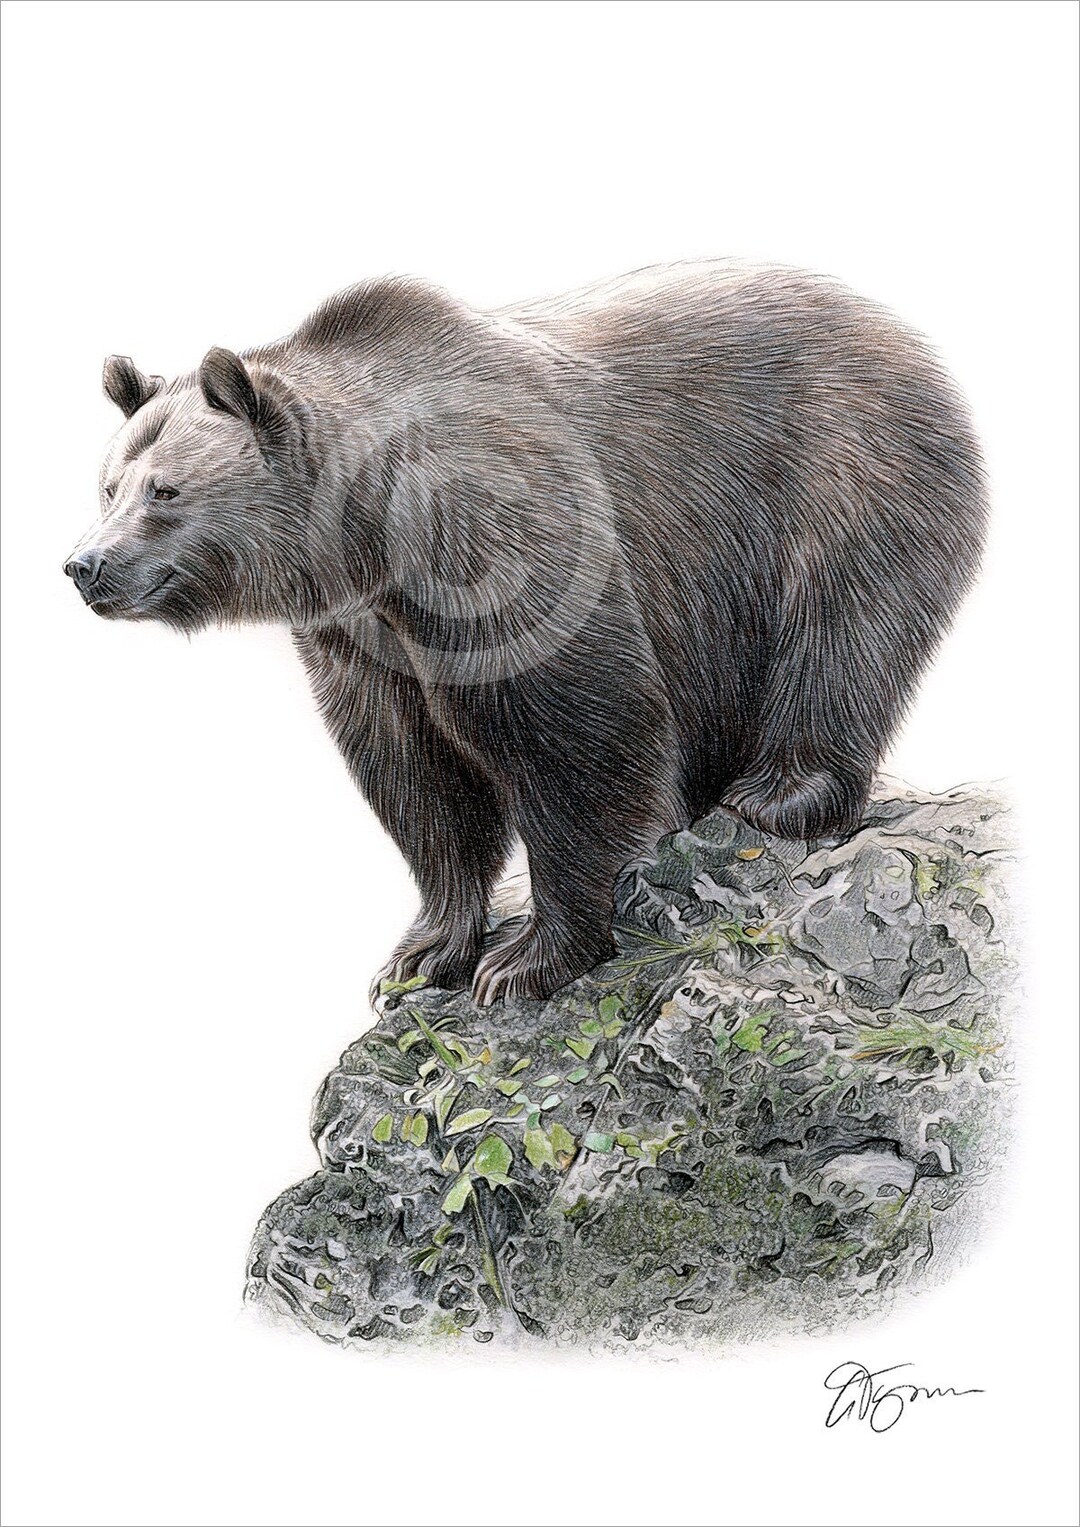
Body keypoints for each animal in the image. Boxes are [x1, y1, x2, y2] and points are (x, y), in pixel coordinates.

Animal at [65, 261, 987, 1005]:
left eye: (165, 490)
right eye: (107, 484)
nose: (85, 565)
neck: (371, 535)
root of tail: (907, 336)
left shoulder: (502, 538)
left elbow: (579, 729)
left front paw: (527, 960)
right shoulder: (362, 635)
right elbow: (414, 773)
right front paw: (423, 951)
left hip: (845, 467)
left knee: (841, 629)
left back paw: (777, 793)